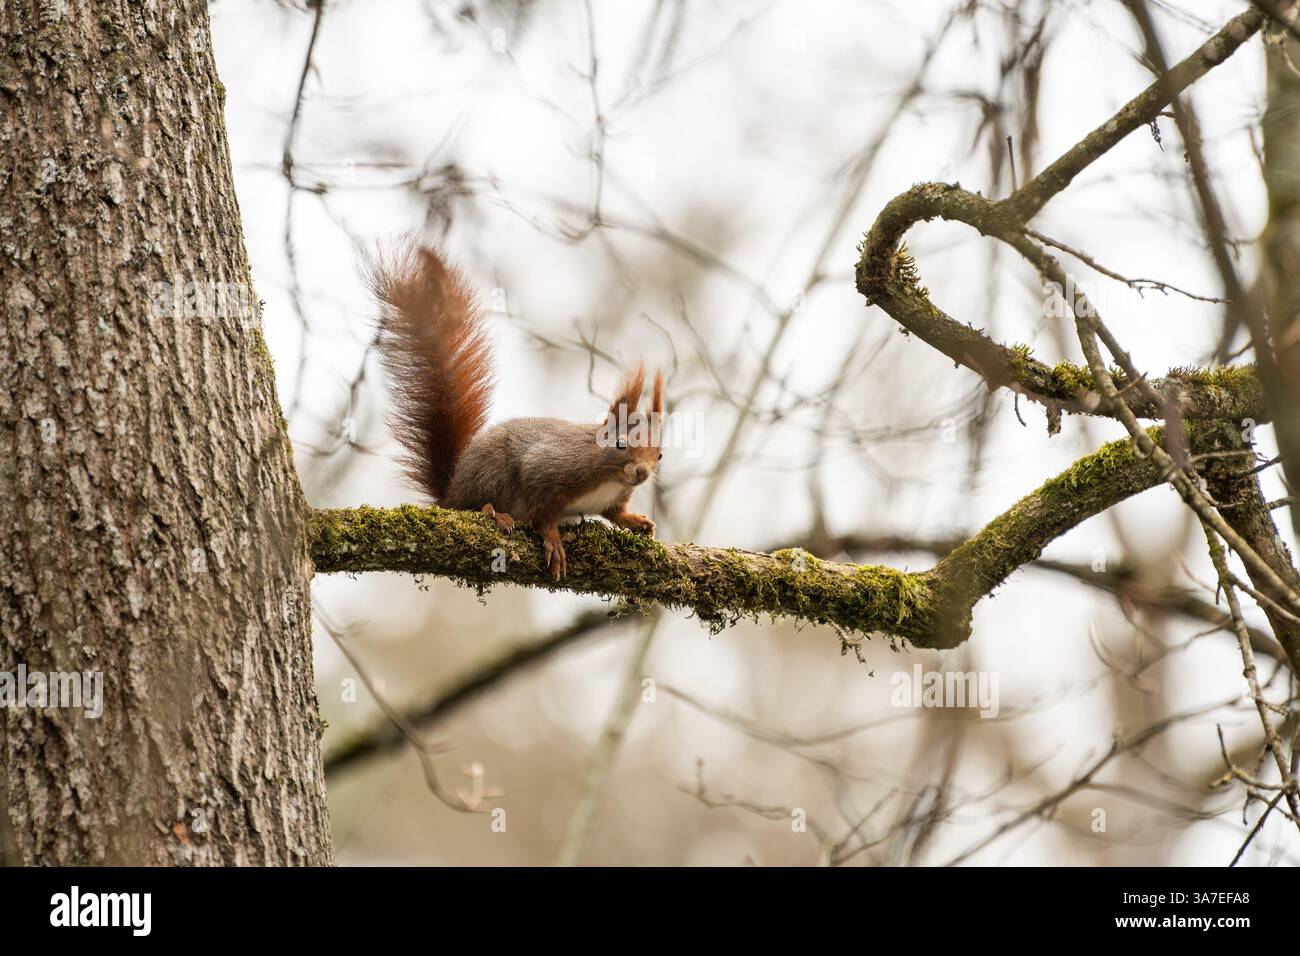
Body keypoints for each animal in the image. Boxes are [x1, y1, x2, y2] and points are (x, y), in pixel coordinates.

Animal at [369, 242, 664, 579]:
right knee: (473, 504)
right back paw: (494, 512)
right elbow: (542, 515)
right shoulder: (549, 471)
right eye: (620, 444)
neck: (609, 477)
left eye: (659, 455)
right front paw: (552, 539)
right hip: (490, 474)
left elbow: (614, 513)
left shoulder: (613, 498)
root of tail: (450, 493)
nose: (642, 473)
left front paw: (636, 521)